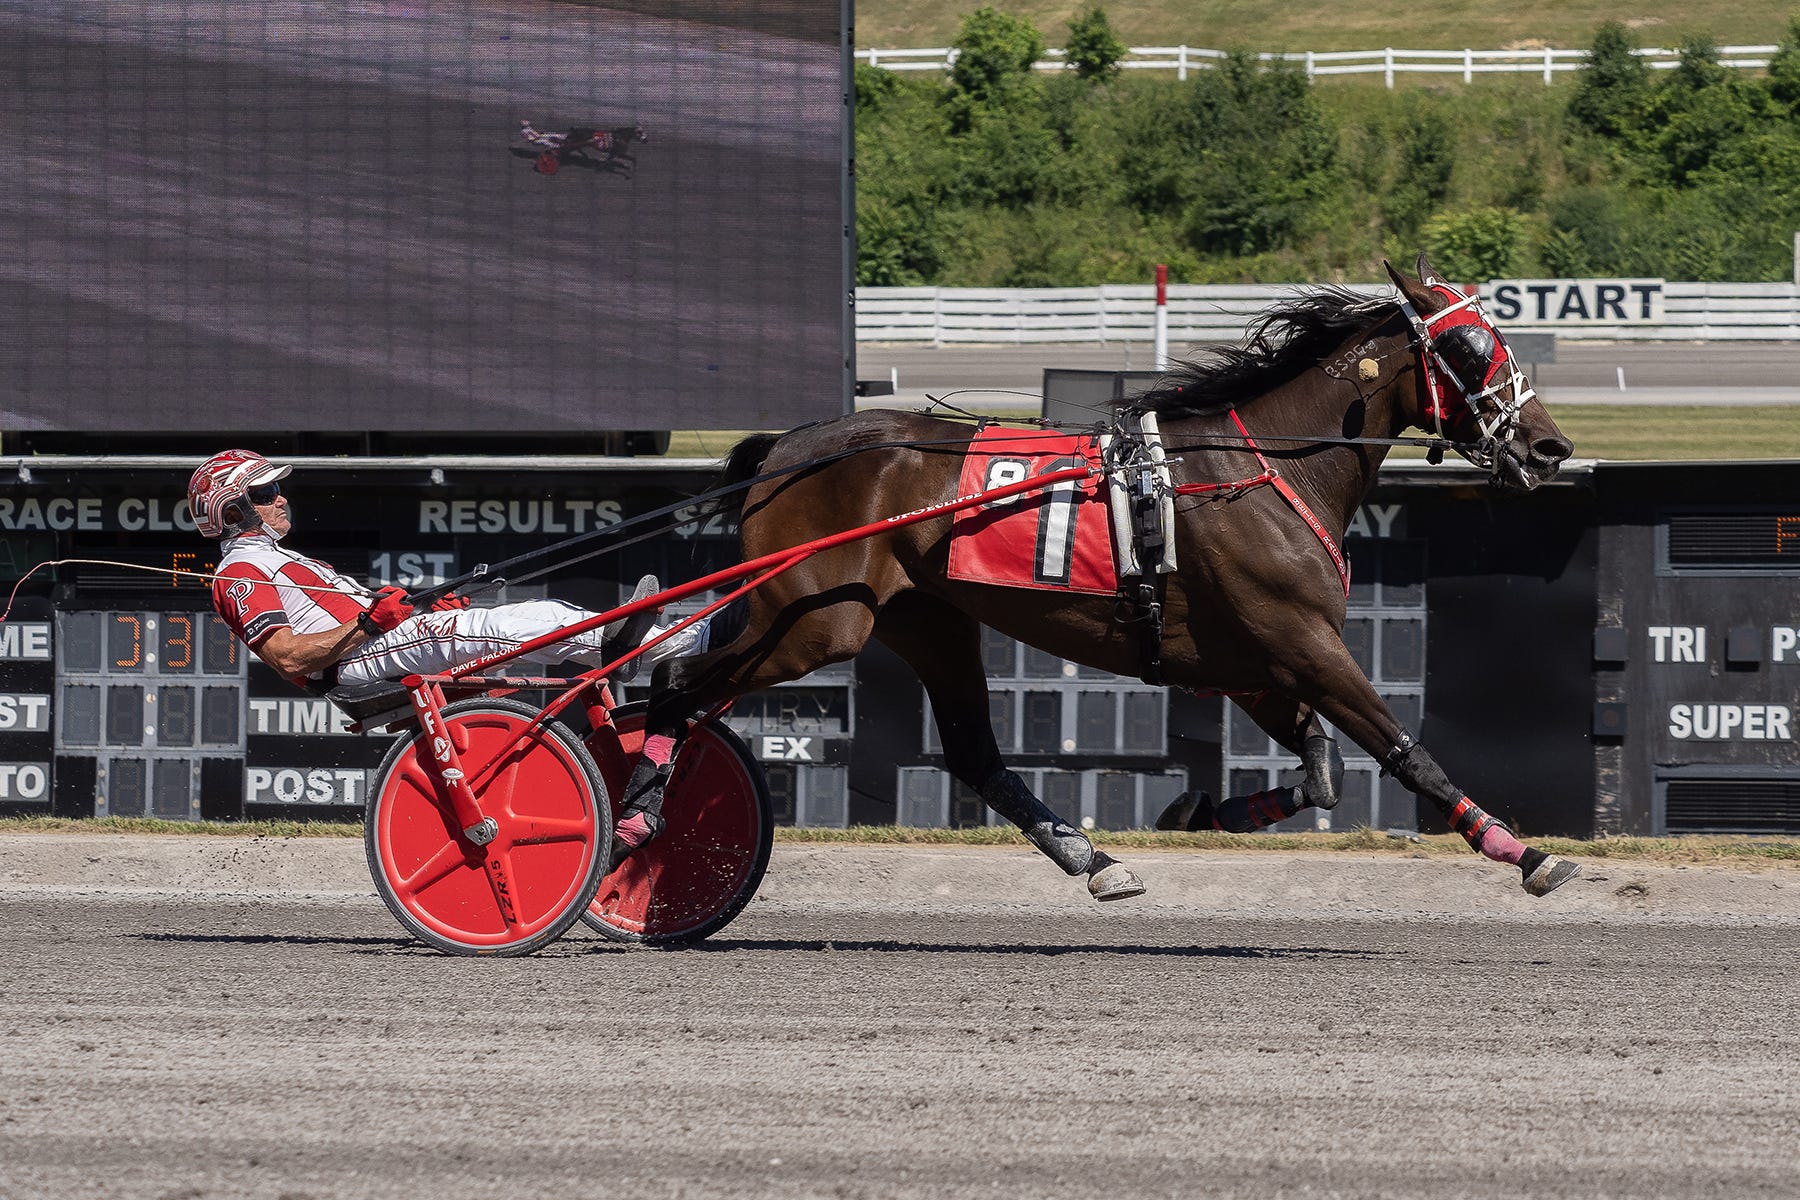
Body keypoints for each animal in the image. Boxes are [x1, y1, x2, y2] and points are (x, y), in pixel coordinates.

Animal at [614, 255, 1581, 901]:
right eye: (1470, 348)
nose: (1549, 448)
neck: (1263, 467)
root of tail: (785, 448)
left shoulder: (1249, 660)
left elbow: (1324, 769)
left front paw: (1207, 812)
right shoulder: (1302, 640)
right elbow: (1401, 750)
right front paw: (1521, 850)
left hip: (926, 618)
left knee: (972, 752)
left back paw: (1095, 860)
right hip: (817, 619)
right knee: (674, 684)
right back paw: (631, 820)